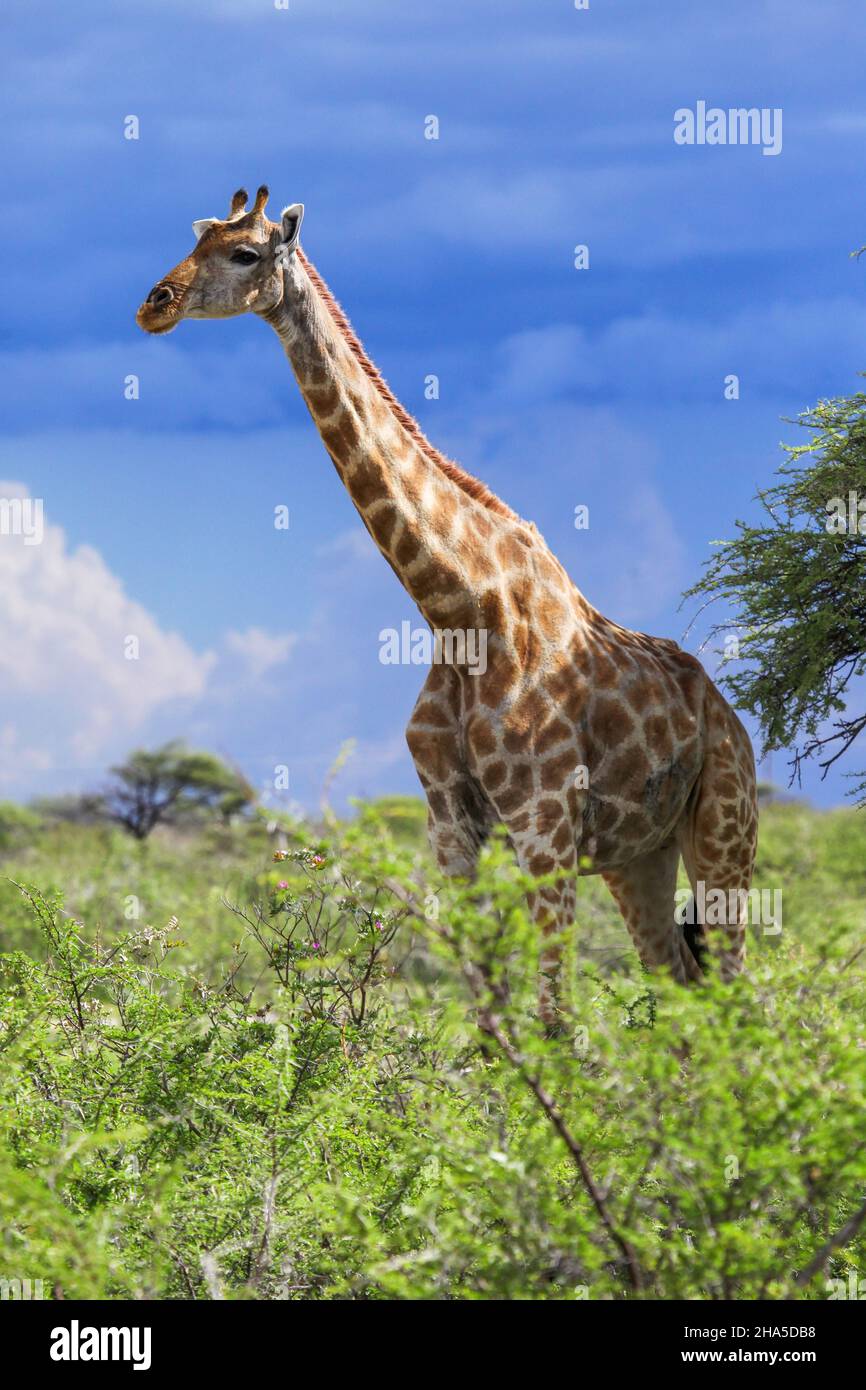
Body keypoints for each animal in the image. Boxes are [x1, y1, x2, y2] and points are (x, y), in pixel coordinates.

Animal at [137, 186, 758, 1026]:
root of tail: (729, 717)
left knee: (736, 994)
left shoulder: (544, 825)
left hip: (724, 829)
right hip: (641, 856)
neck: (459, 607)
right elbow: (489, 1018)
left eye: (245, 253)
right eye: (195, 240)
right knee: (684, 987)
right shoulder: (453, 830)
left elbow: (554, 1018)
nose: (155, 304)